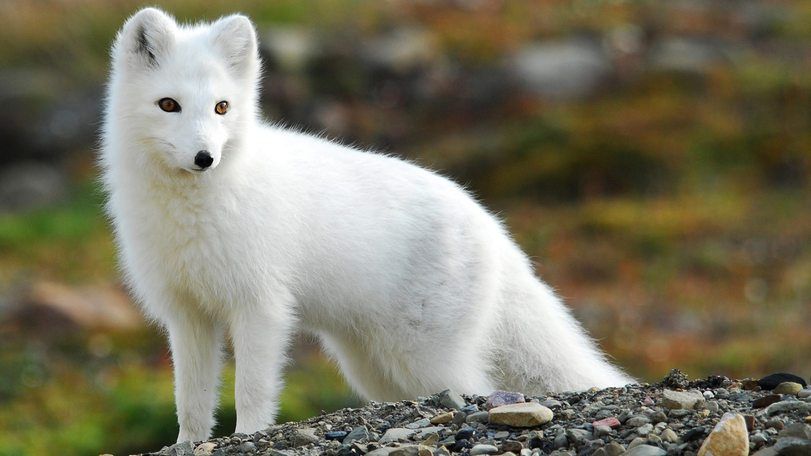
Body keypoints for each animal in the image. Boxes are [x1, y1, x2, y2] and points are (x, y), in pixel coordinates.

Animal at [101, 8, 634, 443]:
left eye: (221, 107)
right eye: (168, 104)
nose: (204, 157)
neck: (189, 213)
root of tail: (490, 224)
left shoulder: (261, 306)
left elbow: (251, 390)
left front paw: (248, 435)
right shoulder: (186, 313)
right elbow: (190, 401)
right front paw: (186, 444)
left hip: (425, 357)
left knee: (477, 389)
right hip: (371, 365)